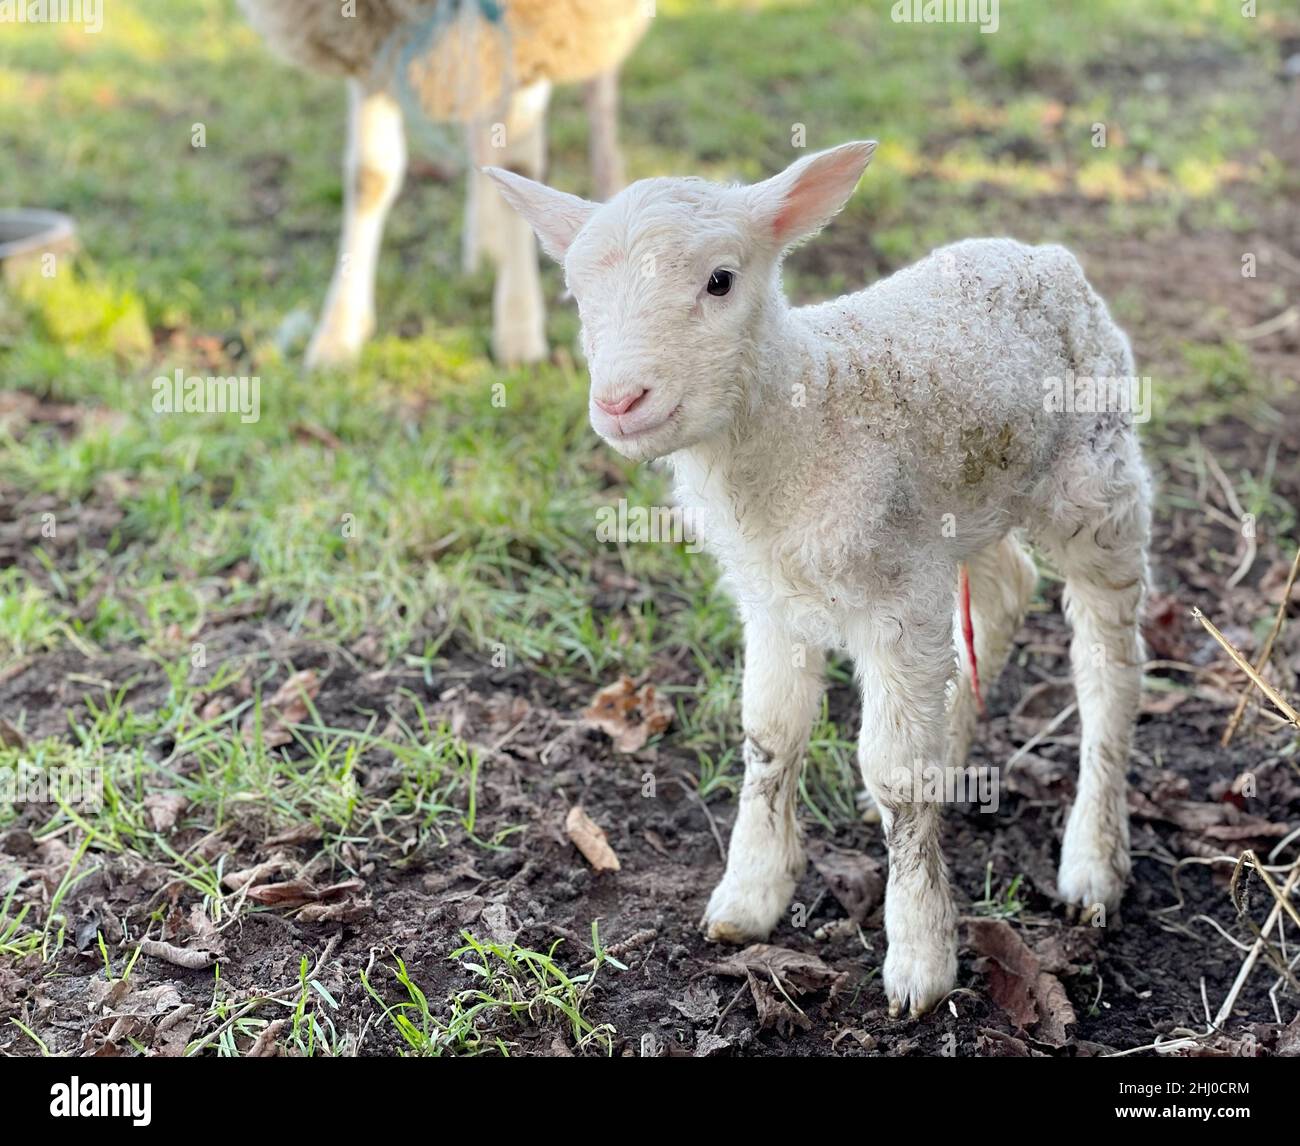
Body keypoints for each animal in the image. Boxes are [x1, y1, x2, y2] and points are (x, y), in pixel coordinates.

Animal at [238, 0, 650, 367]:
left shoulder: (537, 35)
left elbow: (520, 167)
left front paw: (518, 332)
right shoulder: (370, 43)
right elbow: (370, 177)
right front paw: (337, 336)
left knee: (600, 87)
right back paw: (483, 248)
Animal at [486, 142, 1153, 1017]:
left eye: (721, 280)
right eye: (576, 294)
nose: (621, 401)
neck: (806, 414)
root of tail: (1042, 254)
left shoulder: (896, 593)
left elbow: (897, 772)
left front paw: (920, 959)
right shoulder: (772, 599)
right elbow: (770, 736)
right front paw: (749, 896)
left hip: (1095, 476)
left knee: (1108, 659)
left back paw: (1093, 862)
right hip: (967, 504)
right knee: (1004, 586)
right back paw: (955, 745)